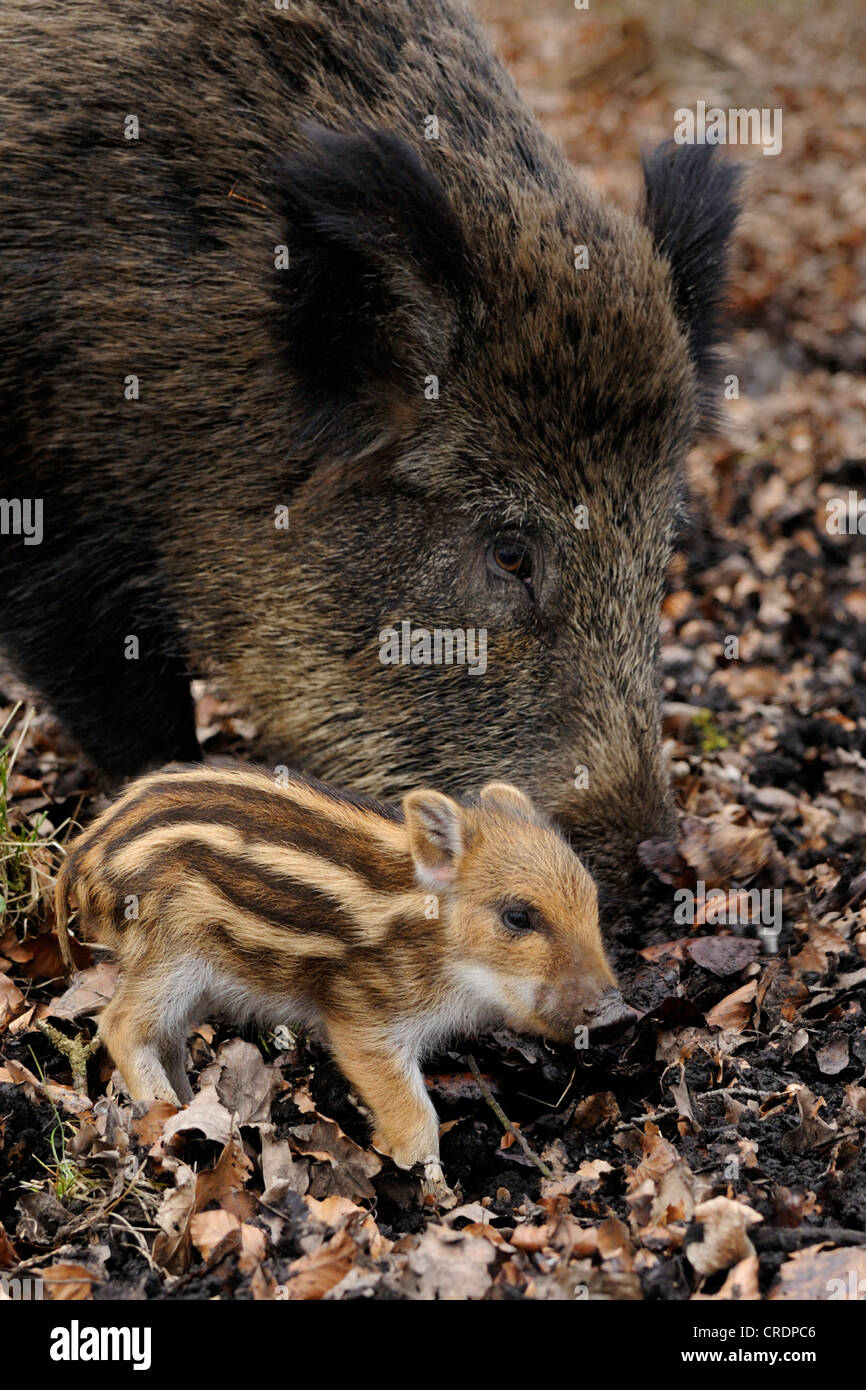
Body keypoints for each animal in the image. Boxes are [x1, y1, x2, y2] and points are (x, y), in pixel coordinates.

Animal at [54, 764, 632, 1197]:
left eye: (592, 901)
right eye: (518, 917)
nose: (617, 1011)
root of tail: (80, 855)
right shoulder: (365, 1020)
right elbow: (414, 1118)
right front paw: (438, 1195)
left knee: (164, 1036)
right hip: (170, 955)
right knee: (120, 1024)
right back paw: (167, 1114)